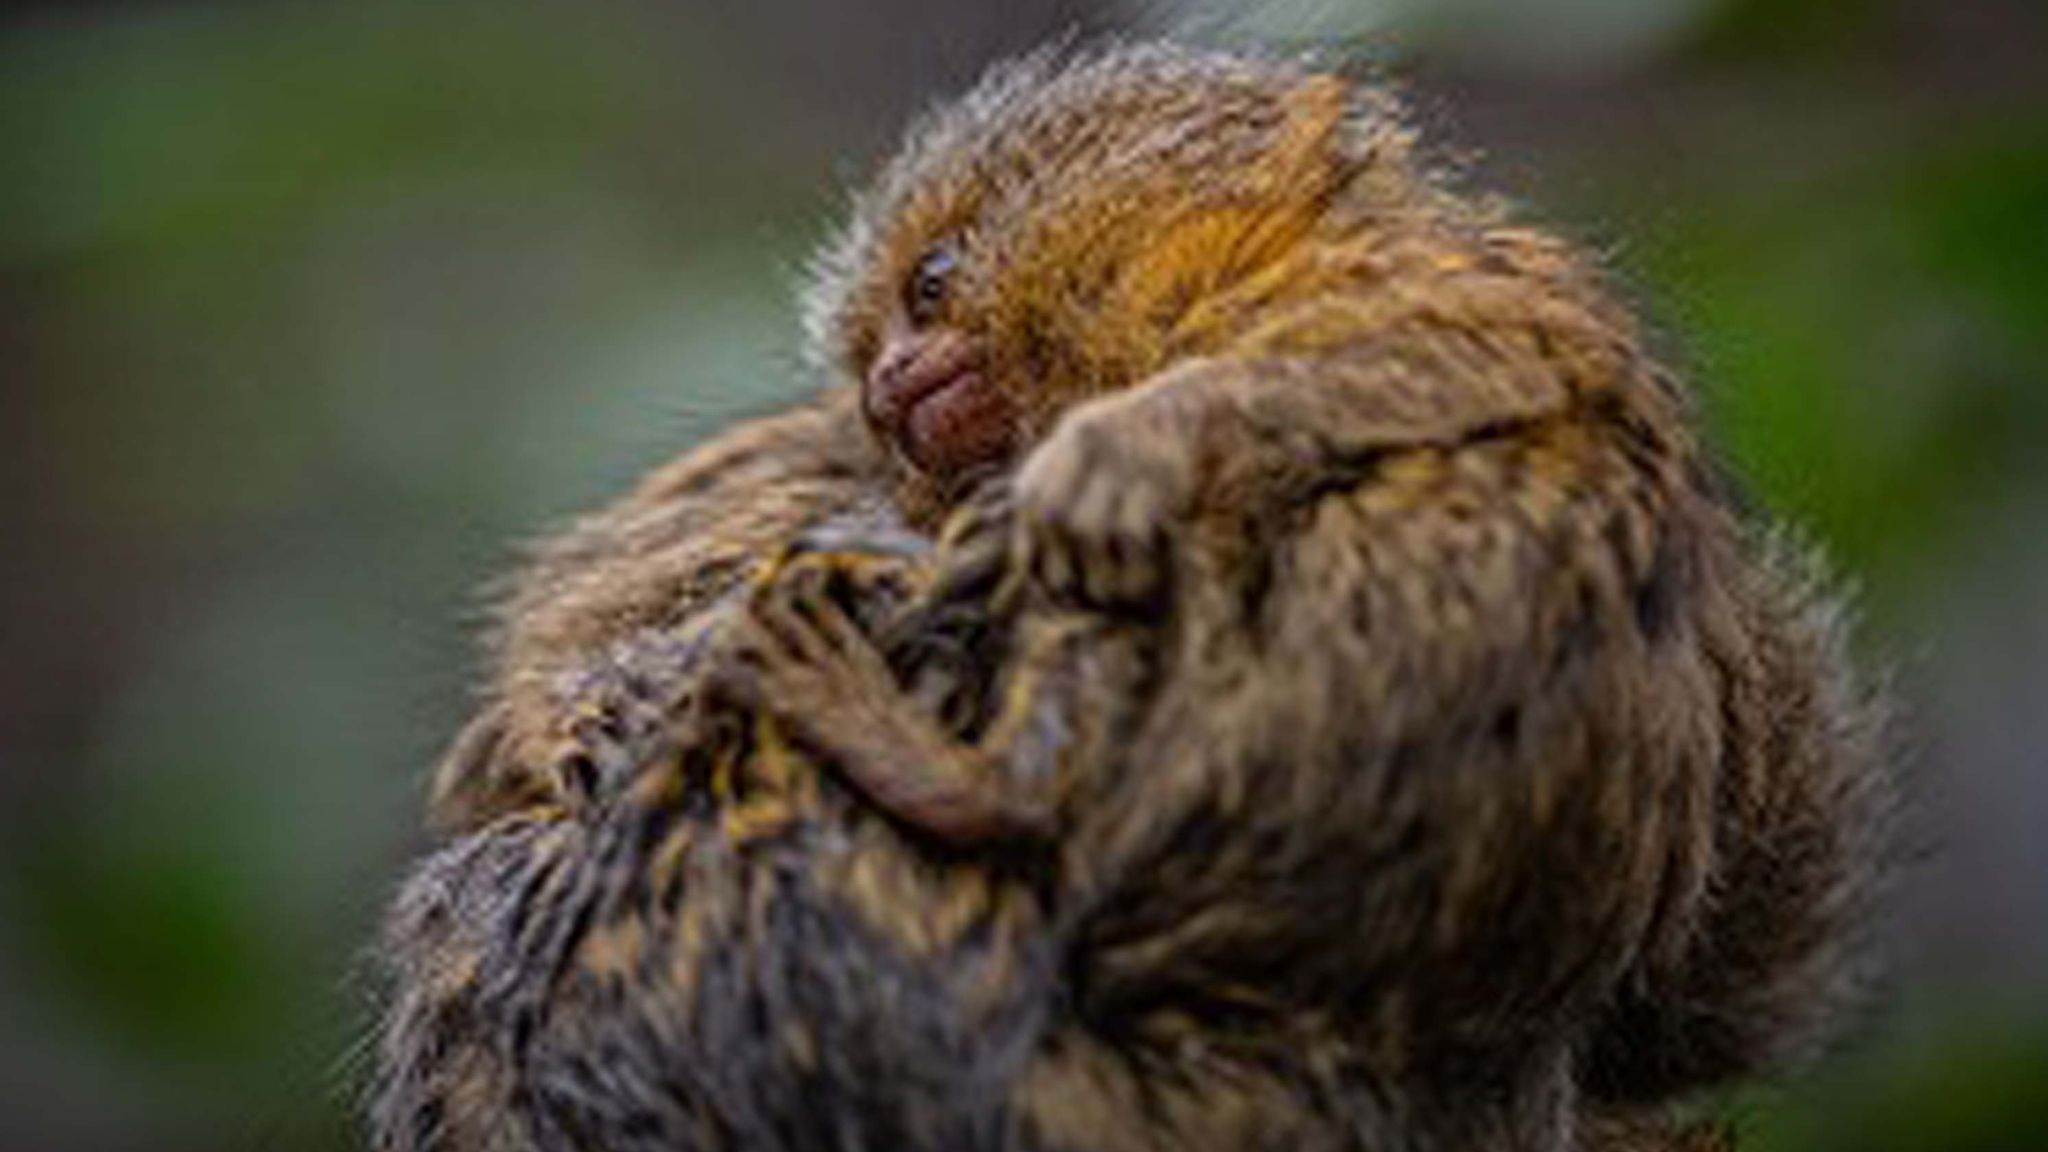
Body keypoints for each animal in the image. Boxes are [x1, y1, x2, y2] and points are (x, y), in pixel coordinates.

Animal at [371, 42, 1888, 1152]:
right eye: (875, 352)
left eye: (934, 285)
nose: (887, 386)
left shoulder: (1453, 292)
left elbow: (1460, 344)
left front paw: (1125, 447)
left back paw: (957, 773)